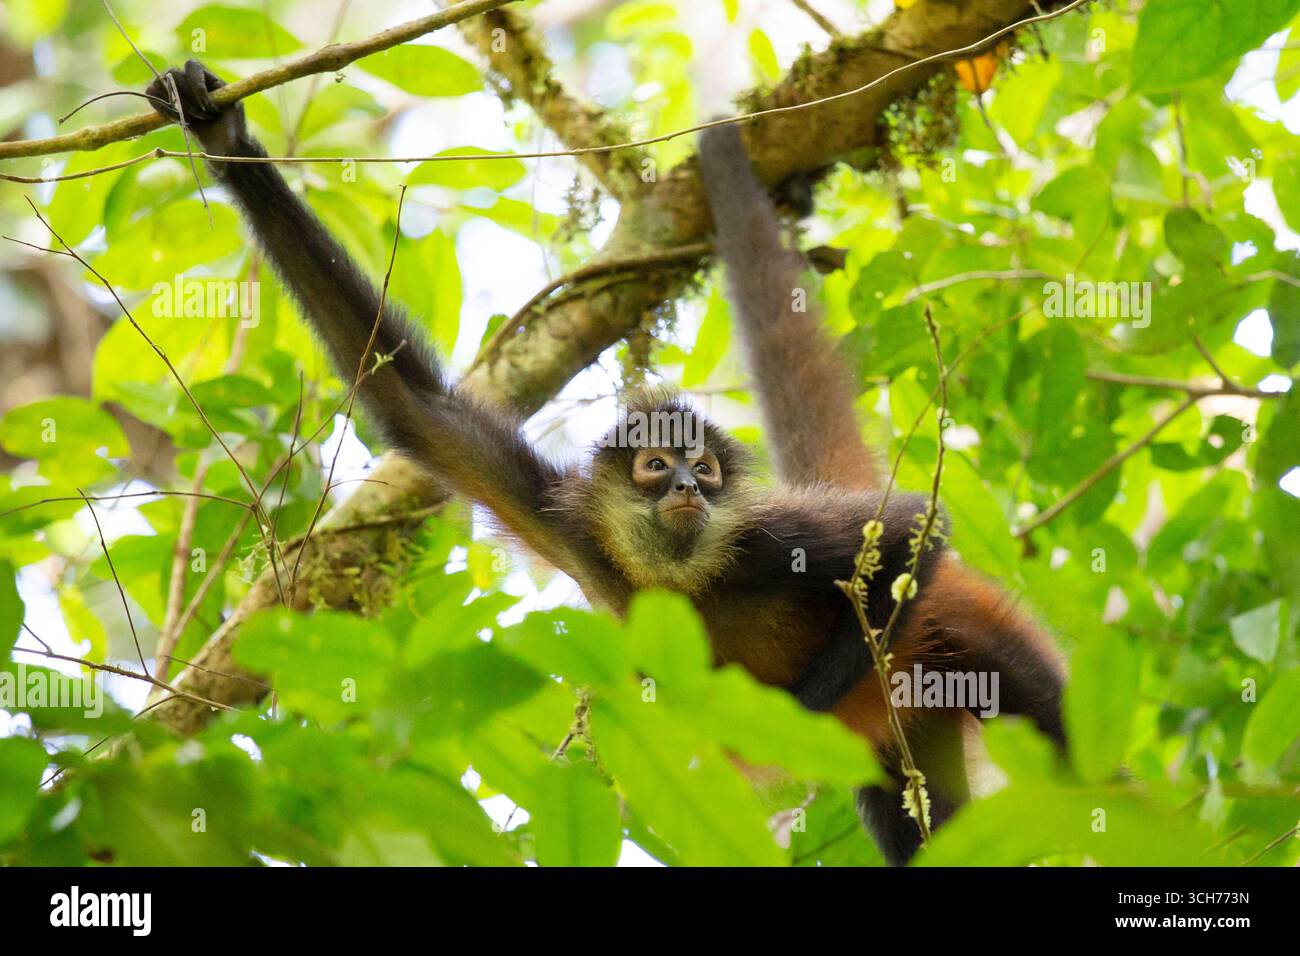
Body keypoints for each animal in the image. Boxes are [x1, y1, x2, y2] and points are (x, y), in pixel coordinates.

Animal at [146, 61, 1067, 865]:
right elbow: (413, 407)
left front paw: (776, 717)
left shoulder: (766, 538)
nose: (690, 484)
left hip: (970, 628)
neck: (674, 580)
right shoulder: (573, 525)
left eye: (704, 468)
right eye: (659, 466)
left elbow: (914, 525)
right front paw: (224, 138)